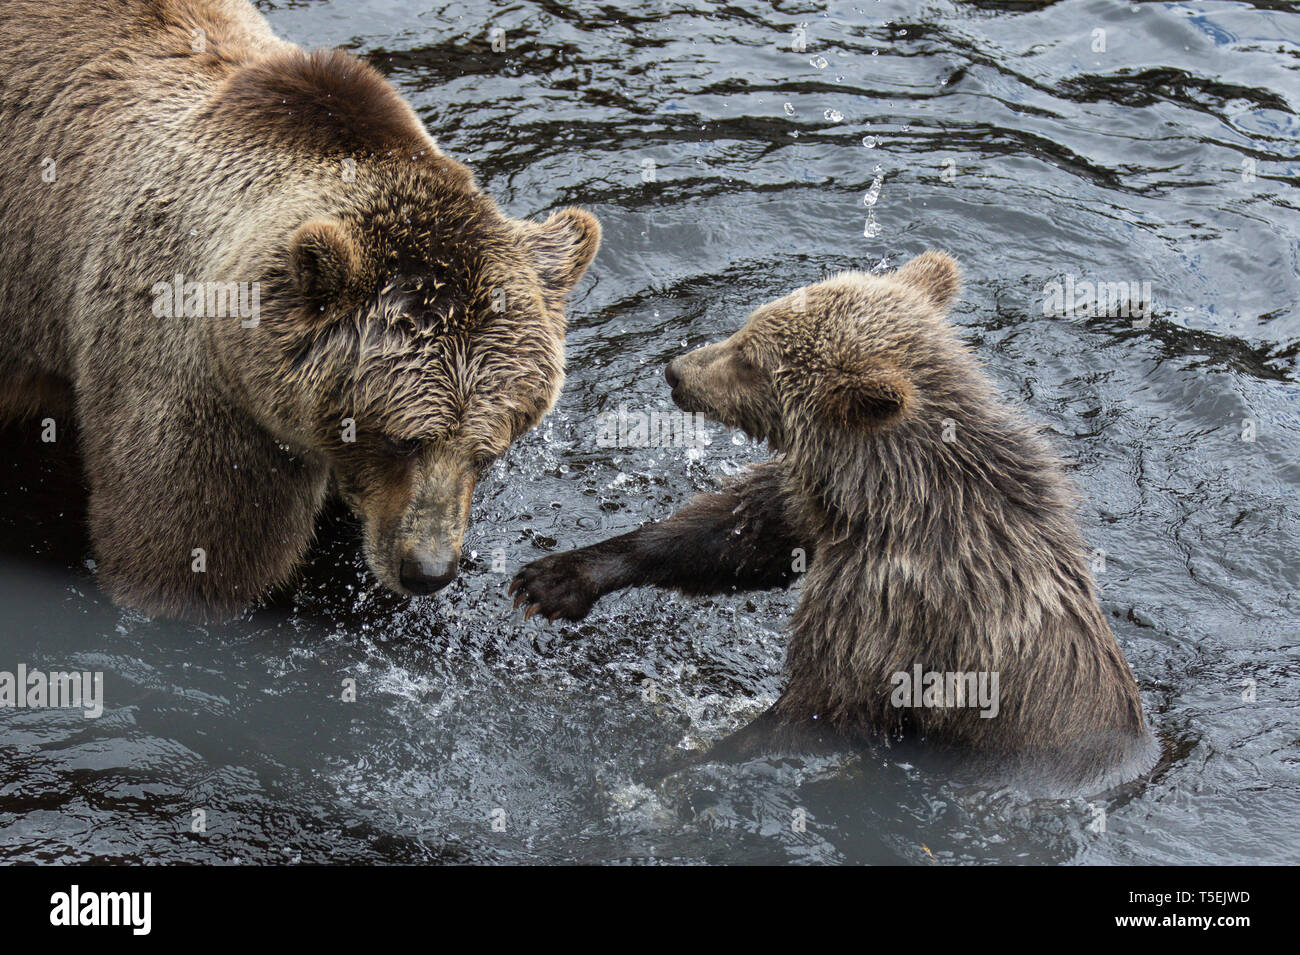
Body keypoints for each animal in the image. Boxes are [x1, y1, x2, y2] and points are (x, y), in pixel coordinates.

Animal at [512, 251, 1160, 794]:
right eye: (747, 327)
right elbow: (733, 535)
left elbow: (824, 705)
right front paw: (554, 579)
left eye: (751, 360)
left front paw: (667, 769)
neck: (889, 499)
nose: (676, 370)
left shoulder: (891, 603)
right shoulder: (817, 508)